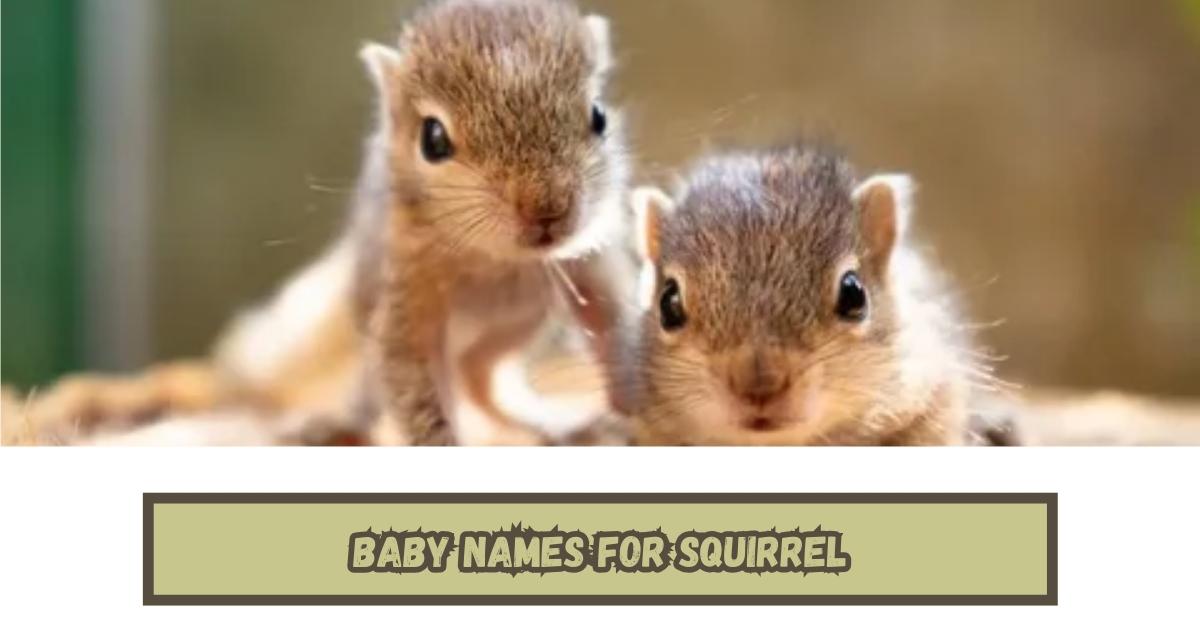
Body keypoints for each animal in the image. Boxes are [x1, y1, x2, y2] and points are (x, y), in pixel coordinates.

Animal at [350, 0, 634, 445]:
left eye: (599, 114)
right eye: (432, 139)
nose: (547, 207)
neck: (498, 260)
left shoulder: (593, 265)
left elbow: (615, 325)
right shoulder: (407, 294)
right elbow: (414, 387)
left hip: (517, 325)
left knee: (478, 374)